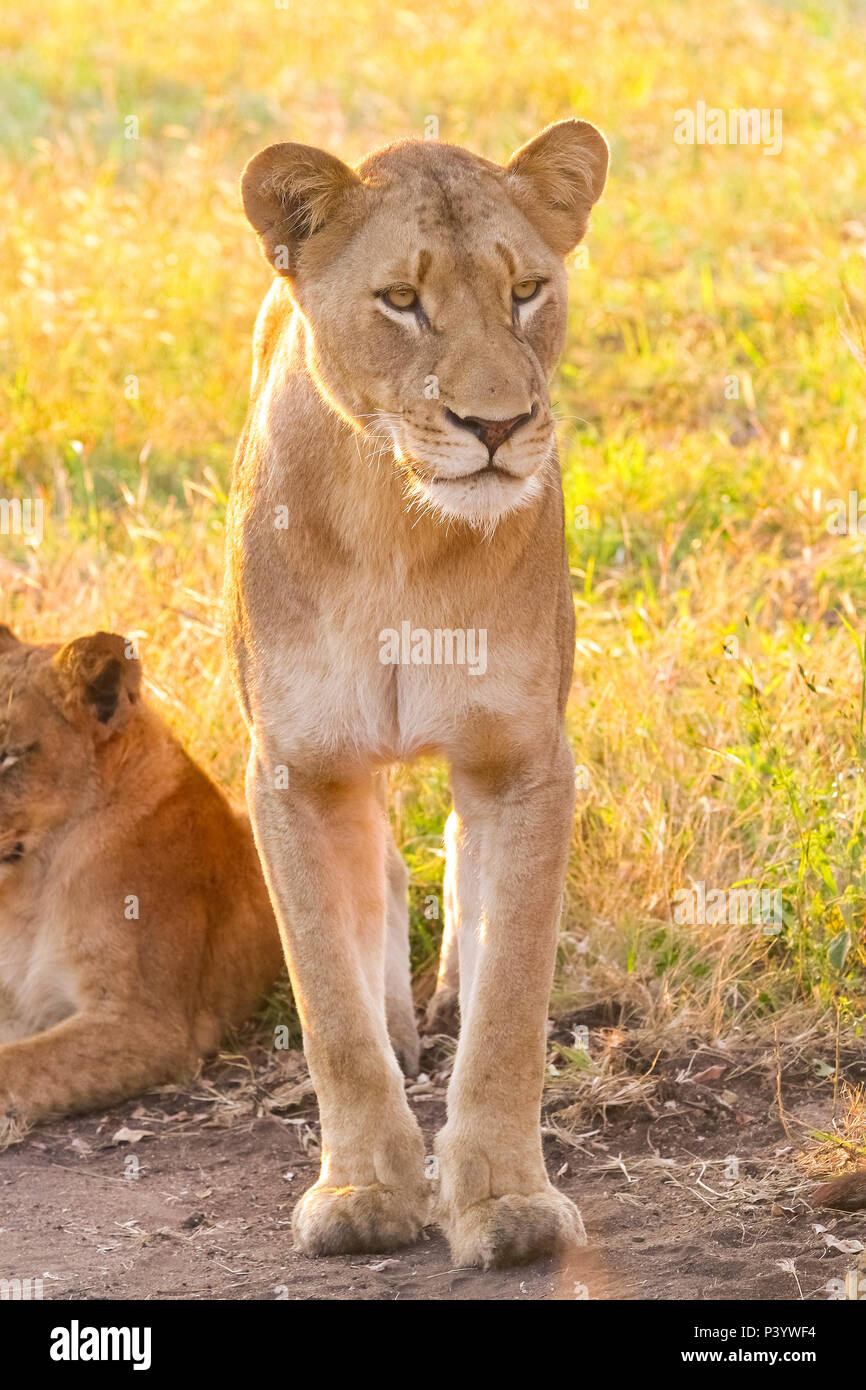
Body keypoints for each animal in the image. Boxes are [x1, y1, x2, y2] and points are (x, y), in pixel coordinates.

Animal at [225, 119, 608, 1268]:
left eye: (526, 290)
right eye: (401, 300)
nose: (498, 424)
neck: (401, 526)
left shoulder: (524, 762)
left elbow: (510, 1005)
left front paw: (505, 1202)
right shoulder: (294, 769)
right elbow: (331, 1015)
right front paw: (361, 1192)